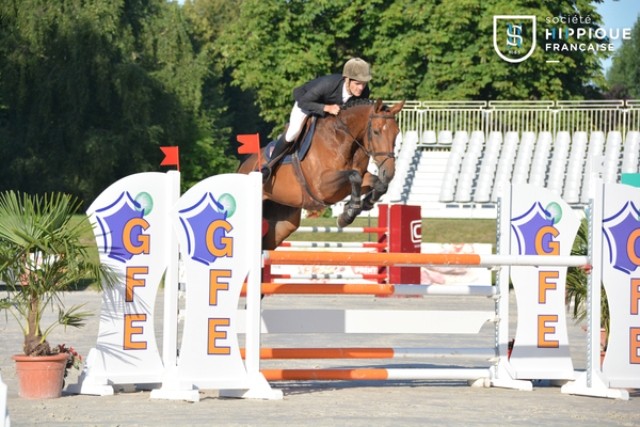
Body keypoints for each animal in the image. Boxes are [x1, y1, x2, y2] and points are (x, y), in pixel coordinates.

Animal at [237, 98, 405, 250]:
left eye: (397, 133)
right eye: (376, 132)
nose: (389, 172)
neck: (342, 141)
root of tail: (244, 166)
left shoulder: (354, 181)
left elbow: (377, 183)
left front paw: (362, 205)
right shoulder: (322, 188)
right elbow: (354, 176)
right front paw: (349, 213)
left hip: (282, 222)